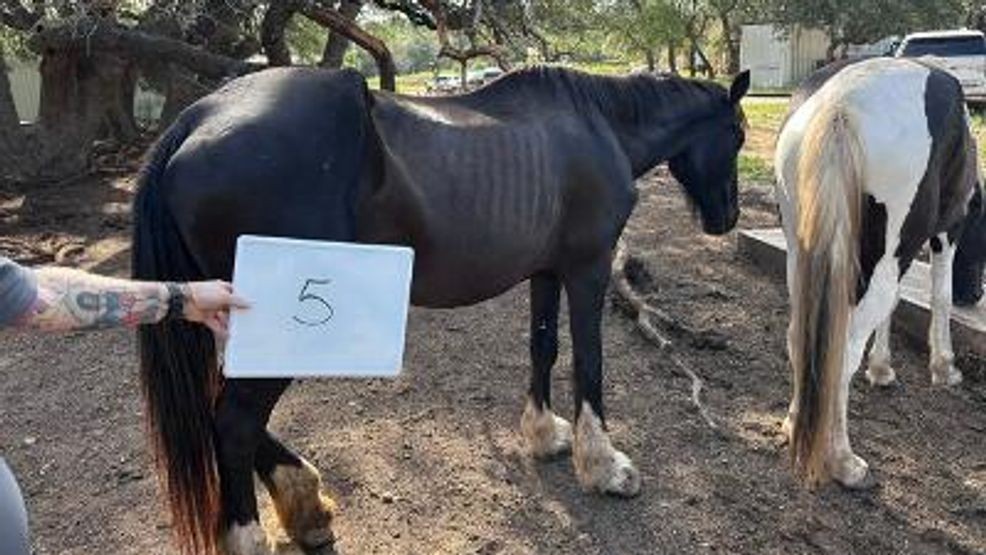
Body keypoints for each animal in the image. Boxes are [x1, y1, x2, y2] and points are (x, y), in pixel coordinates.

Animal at [133, 65, 751, 554]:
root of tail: (194, 119)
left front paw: (544, 435)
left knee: (222, 408)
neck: (600, 126)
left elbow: (544, 347)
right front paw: (604, 466)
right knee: (234, 421)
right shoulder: (588, 269)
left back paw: (305, 504)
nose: (726, 217)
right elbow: (589, 362)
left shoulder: (546, 271)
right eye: (739, 135)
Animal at [774, 57, 985, 489]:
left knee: (800, 335)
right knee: (843, 350)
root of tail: (840, 107)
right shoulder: (947, 229)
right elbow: (938, 297)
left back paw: (794, 423)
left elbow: (895, 304)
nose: (974, 293)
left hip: (802, 255)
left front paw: (882, 367)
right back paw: (843, 461)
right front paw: (944, 367)